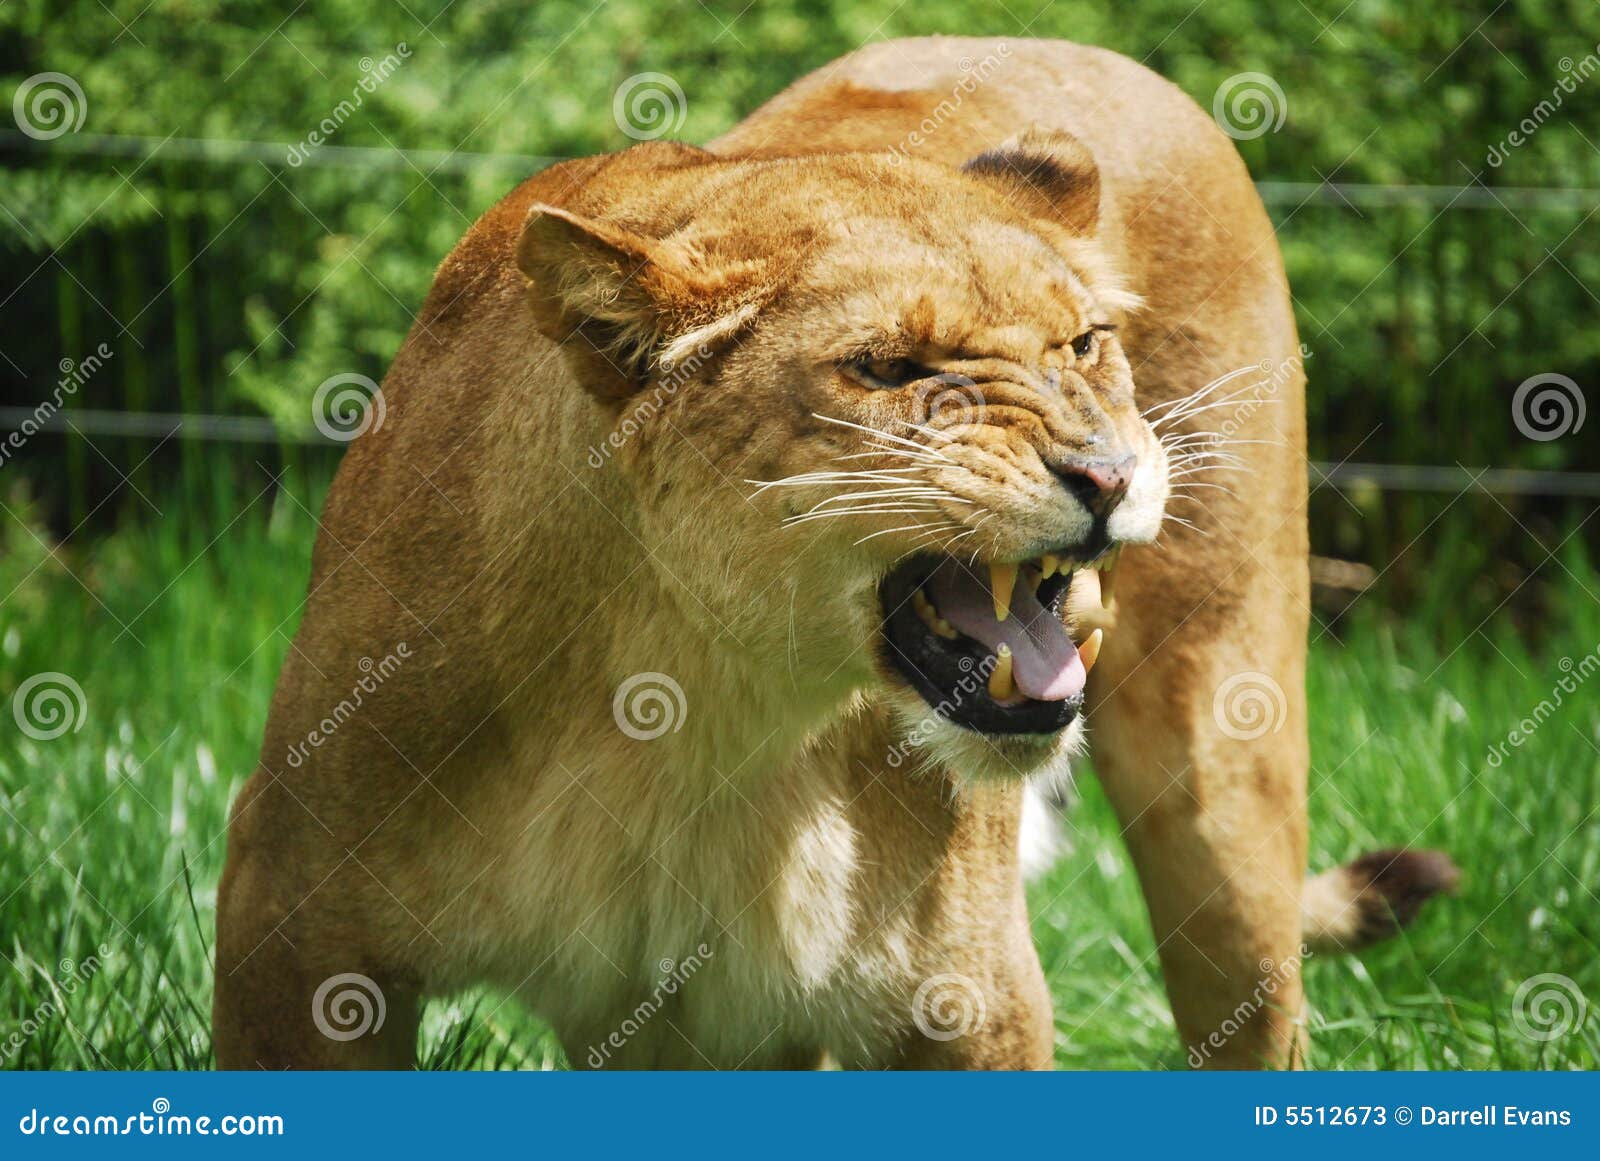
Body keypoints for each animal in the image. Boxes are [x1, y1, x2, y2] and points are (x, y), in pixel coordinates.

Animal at [213, 36, 1455, 1070]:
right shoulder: (295, 929)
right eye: (891, 369)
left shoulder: (970, 996)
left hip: (1223, 758)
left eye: (1082, 343)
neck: (699, 707)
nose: (1107, 477)